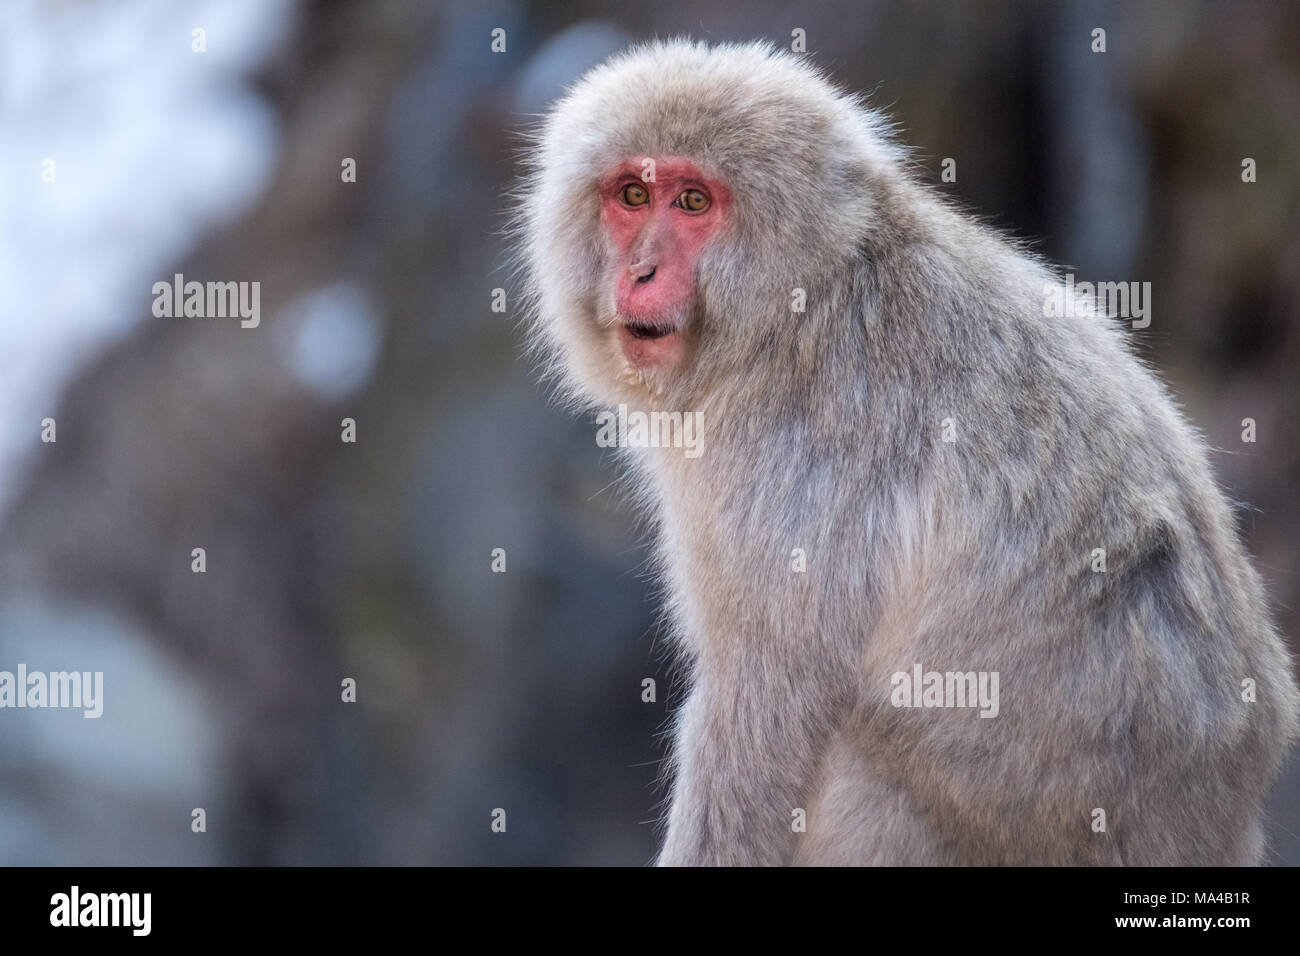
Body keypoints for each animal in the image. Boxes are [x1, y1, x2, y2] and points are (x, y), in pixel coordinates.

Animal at [514, 39, 1299, 866]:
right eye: (633, 195)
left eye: (693, 203)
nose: (639, 272)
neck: (803, 303)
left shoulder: (787, 454)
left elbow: (771, 700)